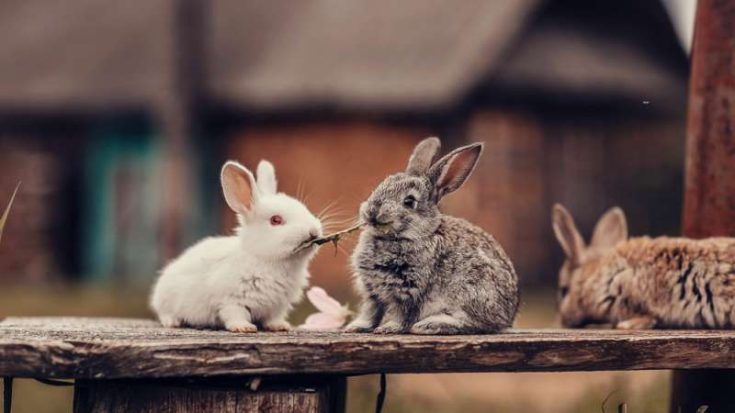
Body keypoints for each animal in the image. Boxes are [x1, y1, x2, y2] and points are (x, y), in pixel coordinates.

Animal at [150, 160, 322, 332]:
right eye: (276, 220)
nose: (313, 231)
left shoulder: (277, 306)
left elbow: (273, 318)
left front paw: (280, 326)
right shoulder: (231, 300)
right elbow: (235, 314)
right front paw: (244, 328)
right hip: (167, 300)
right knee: (165, 313)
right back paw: (172, 322)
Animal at [345, 137, 520, 335]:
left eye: (409, 201)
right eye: (378, 188)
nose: (372, 212)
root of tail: (507, 317)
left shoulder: (409, 290)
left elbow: (401, 314)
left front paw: (388, 328)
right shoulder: (372, 292)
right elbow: (371, 312)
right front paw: (356, 327)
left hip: (473, 293)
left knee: (475, 324)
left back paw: (429, 325)